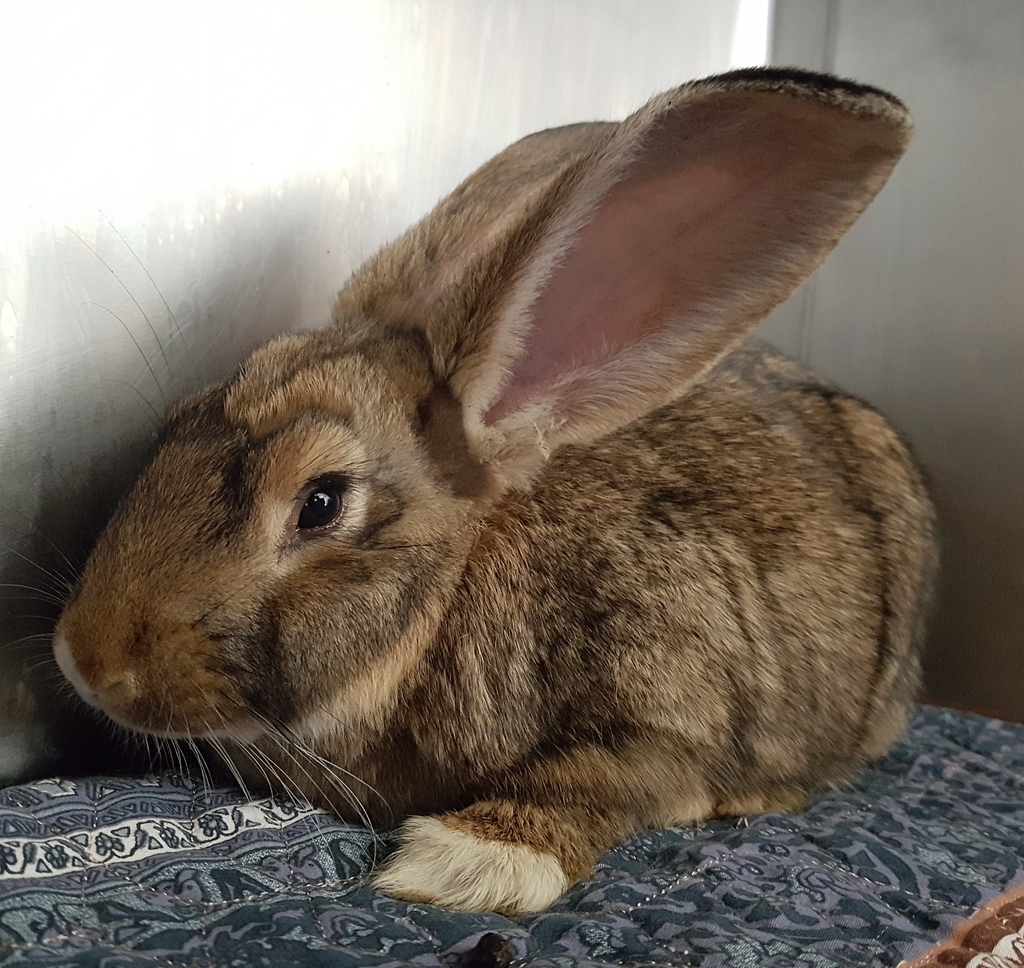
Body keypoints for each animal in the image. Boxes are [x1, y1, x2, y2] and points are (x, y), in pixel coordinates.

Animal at [52, 67, 937, 916]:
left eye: (321, 503)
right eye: (175, 422)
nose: (86, 660)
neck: (441, 608)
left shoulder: (675, 704)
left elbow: (602, 782)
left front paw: (463, 864)